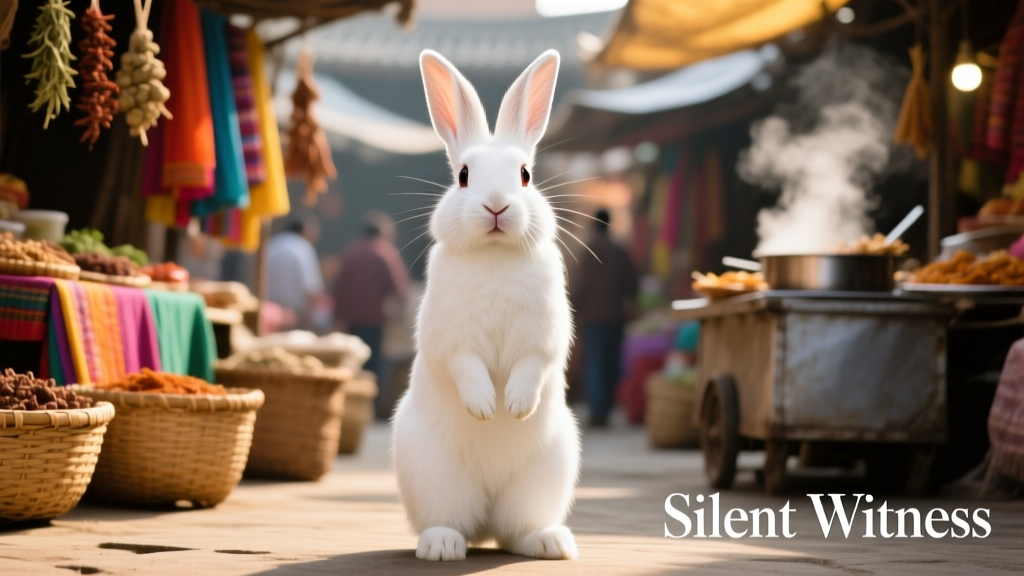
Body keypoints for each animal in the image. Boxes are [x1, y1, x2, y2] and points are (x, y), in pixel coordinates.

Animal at [391, 48, 580, 562]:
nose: (496, 205)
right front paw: (483, 407)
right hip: (431, 470)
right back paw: (441, 546)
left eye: (525, 175)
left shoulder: (544, 337)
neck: (495, 256)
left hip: (548, 470)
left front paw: (514, 407)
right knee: (448, 522)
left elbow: (532, 366)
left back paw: (552, 542)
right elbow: (466, 367)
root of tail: (486, 525)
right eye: (463, 176)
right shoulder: (451, 340)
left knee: (516, 531)